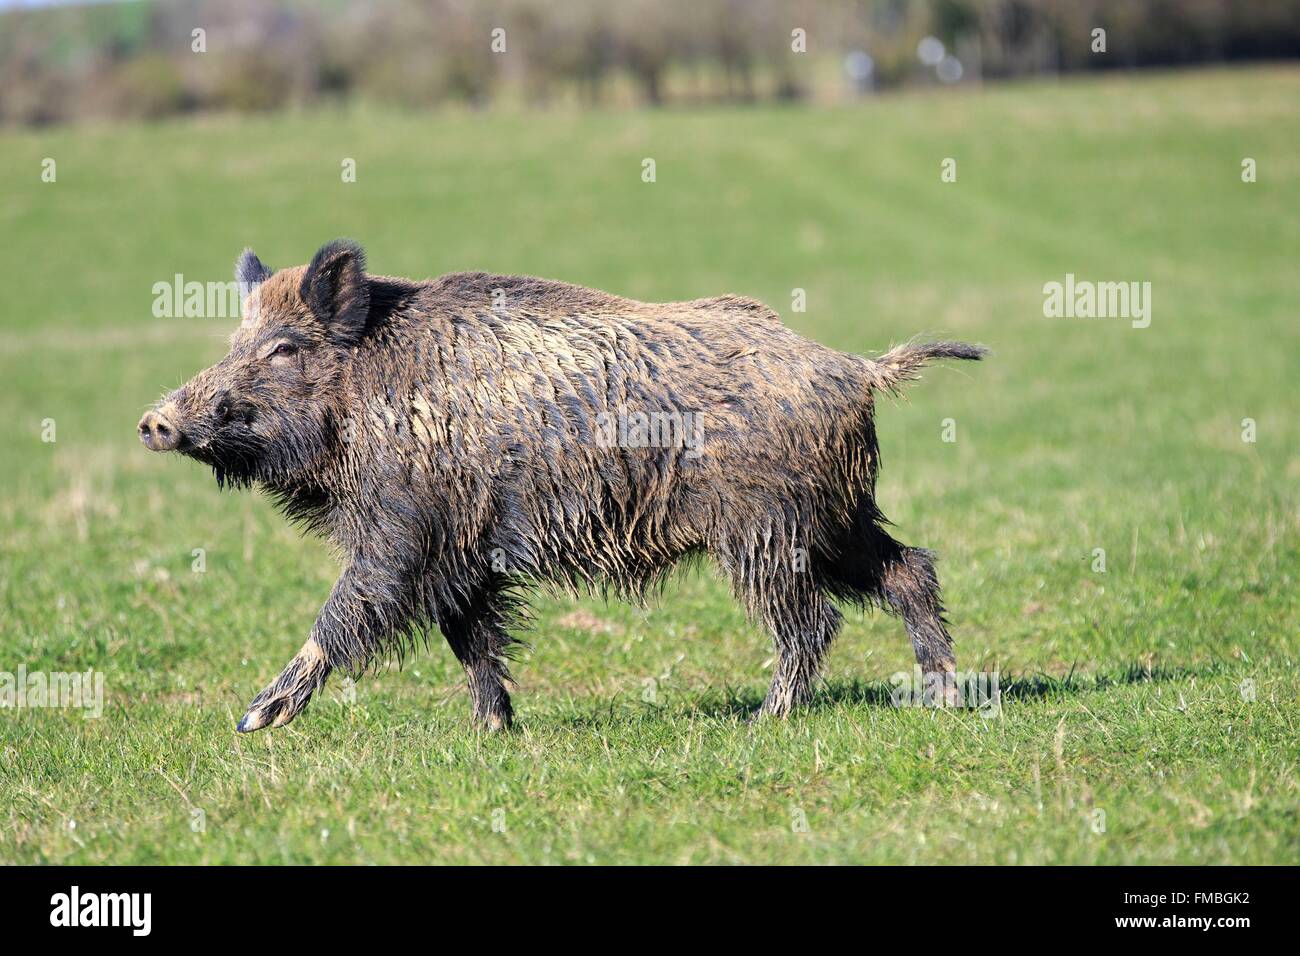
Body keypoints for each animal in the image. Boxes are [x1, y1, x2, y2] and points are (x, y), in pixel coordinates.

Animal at [138, 240, 985, 732]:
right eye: (237, 339)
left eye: (283, 348)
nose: (155, 419)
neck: (370, 397)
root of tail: (857, 367)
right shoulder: (463, 553)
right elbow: (472, 641)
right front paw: (493, 734)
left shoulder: (404, 534)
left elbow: (349, 612)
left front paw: (254, 720)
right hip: (836, 518)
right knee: (910, 570)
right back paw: (943, 697)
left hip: (764, 529)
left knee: (813, 621)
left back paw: (764, 720)